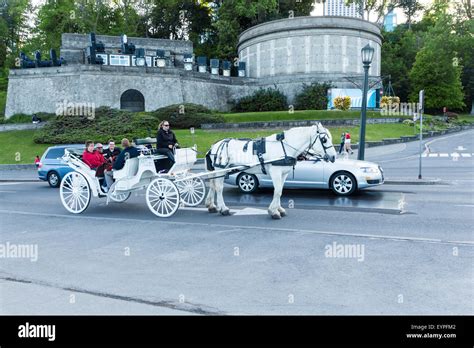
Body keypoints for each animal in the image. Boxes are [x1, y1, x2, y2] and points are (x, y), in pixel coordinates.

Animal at [205, 123, 336, 219]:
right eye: (324, 139)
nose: (334, 157)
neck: (285, 147)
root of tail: (215, 145)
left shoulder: (283, 174)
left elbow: (280, 191)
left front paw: (279, 209)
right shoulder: (275, 173)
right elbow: (277, 191)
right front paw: (274, 211)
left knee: (212, 186)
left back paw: (211, 206)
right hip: (221, 170)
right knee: (219, 188)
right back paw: (224, 208)